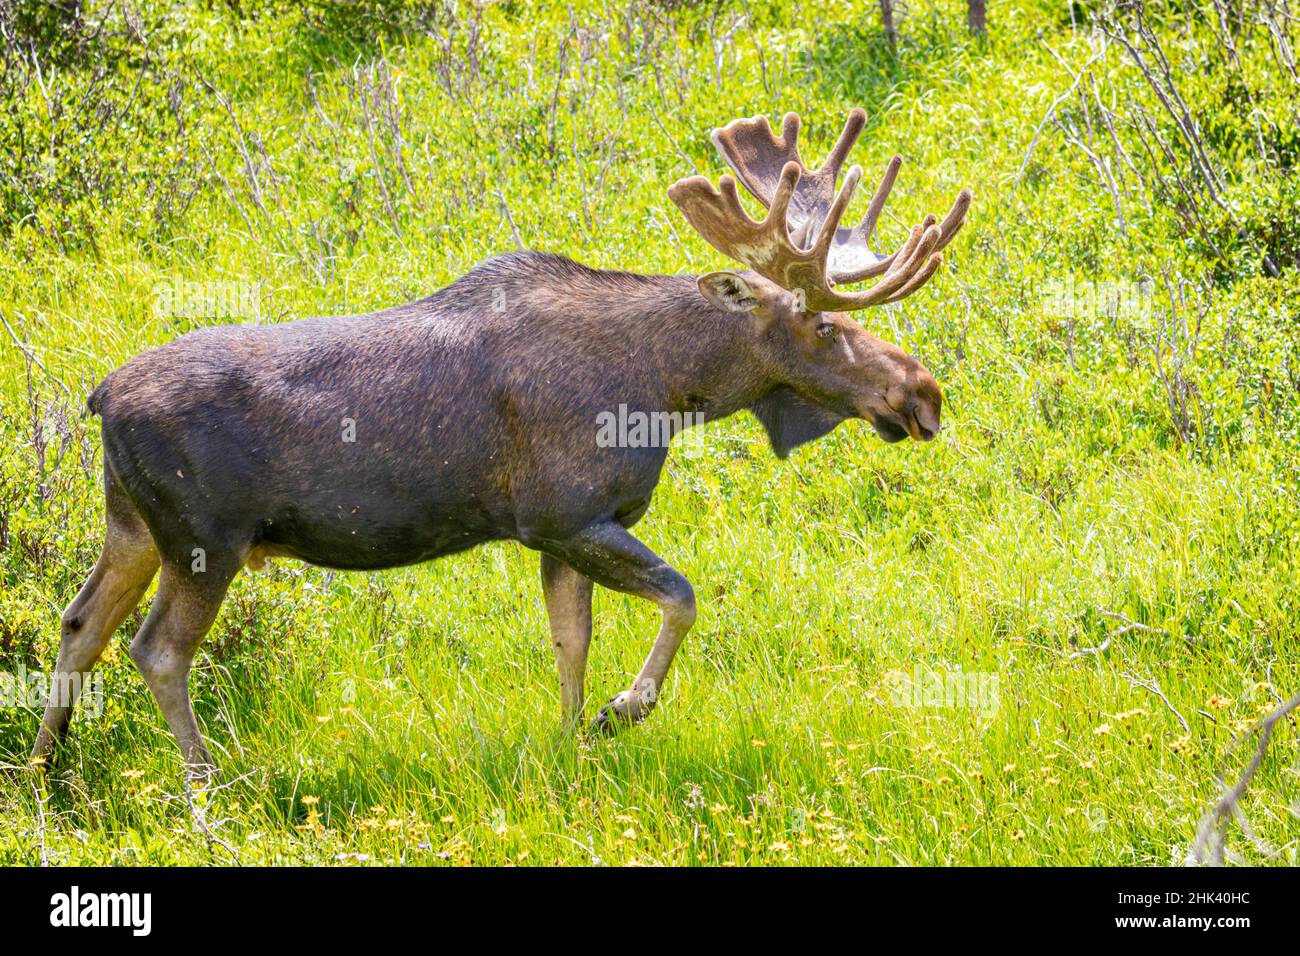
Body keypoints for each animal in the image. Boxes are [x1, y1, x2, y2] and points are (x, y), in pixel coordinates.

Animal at [31, 109, 970, 779]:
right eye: (822, 324)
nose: (921, 394)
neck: (670, 389)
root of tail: (100, 398)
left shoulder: (569, 532)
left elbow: (570, 644)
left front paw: (574, 745)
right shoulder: (564, 514)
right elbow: (682, 597)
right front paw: (623, 711)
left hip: (133, 526)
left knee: (79, 623)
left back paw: (48, 771)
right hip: (205, 538)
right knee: (157, 650)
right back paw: (207, 787)